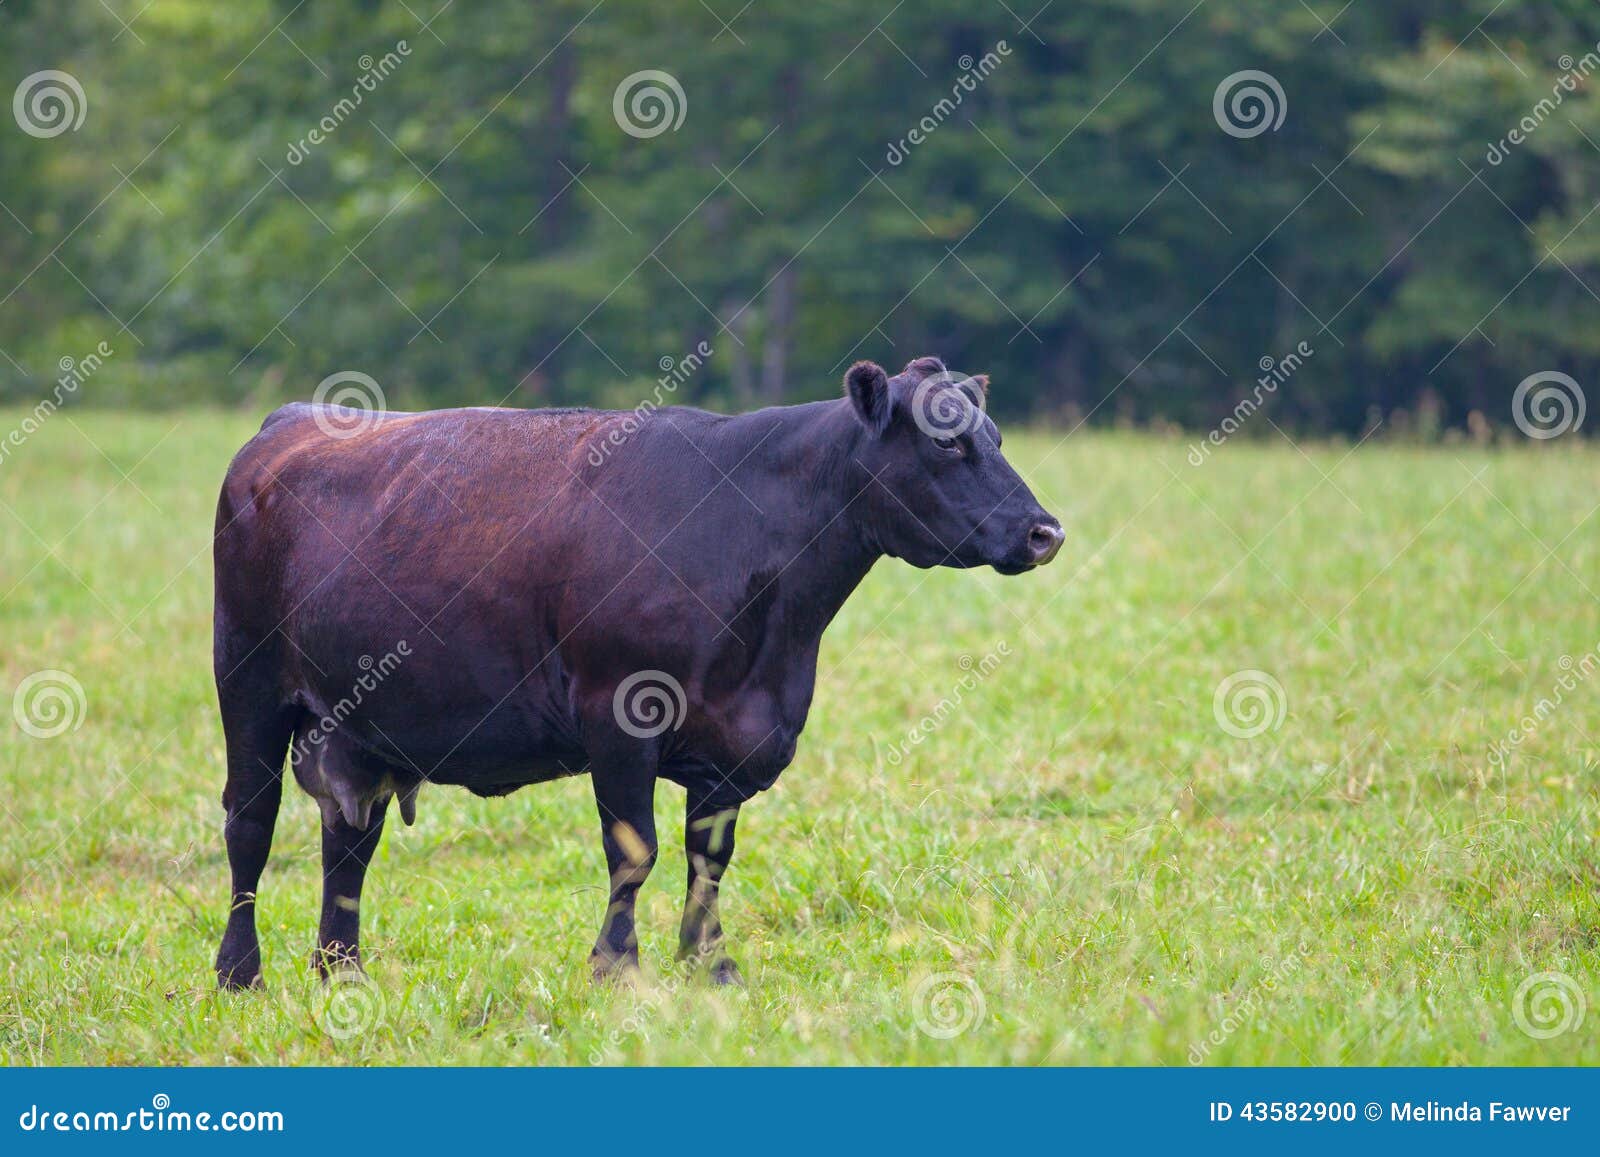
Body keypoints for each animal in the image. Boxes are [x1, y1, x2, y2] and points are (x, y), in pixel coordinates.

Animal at [212, 356, 1063, 990]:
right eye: (946, 444)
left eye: (994, 433)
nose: (1044, 530)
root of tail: (287, 421)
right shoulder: (618, 711)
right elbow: (635, 847)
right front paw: (617, 966)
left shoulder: (737, 737)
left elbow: (707, 855)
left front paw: (708, 963)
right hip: (248, 681)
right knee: (250, 823)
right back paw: (240, 972)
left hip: (358, 722)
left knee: (348, 840)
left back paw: (342, 969)